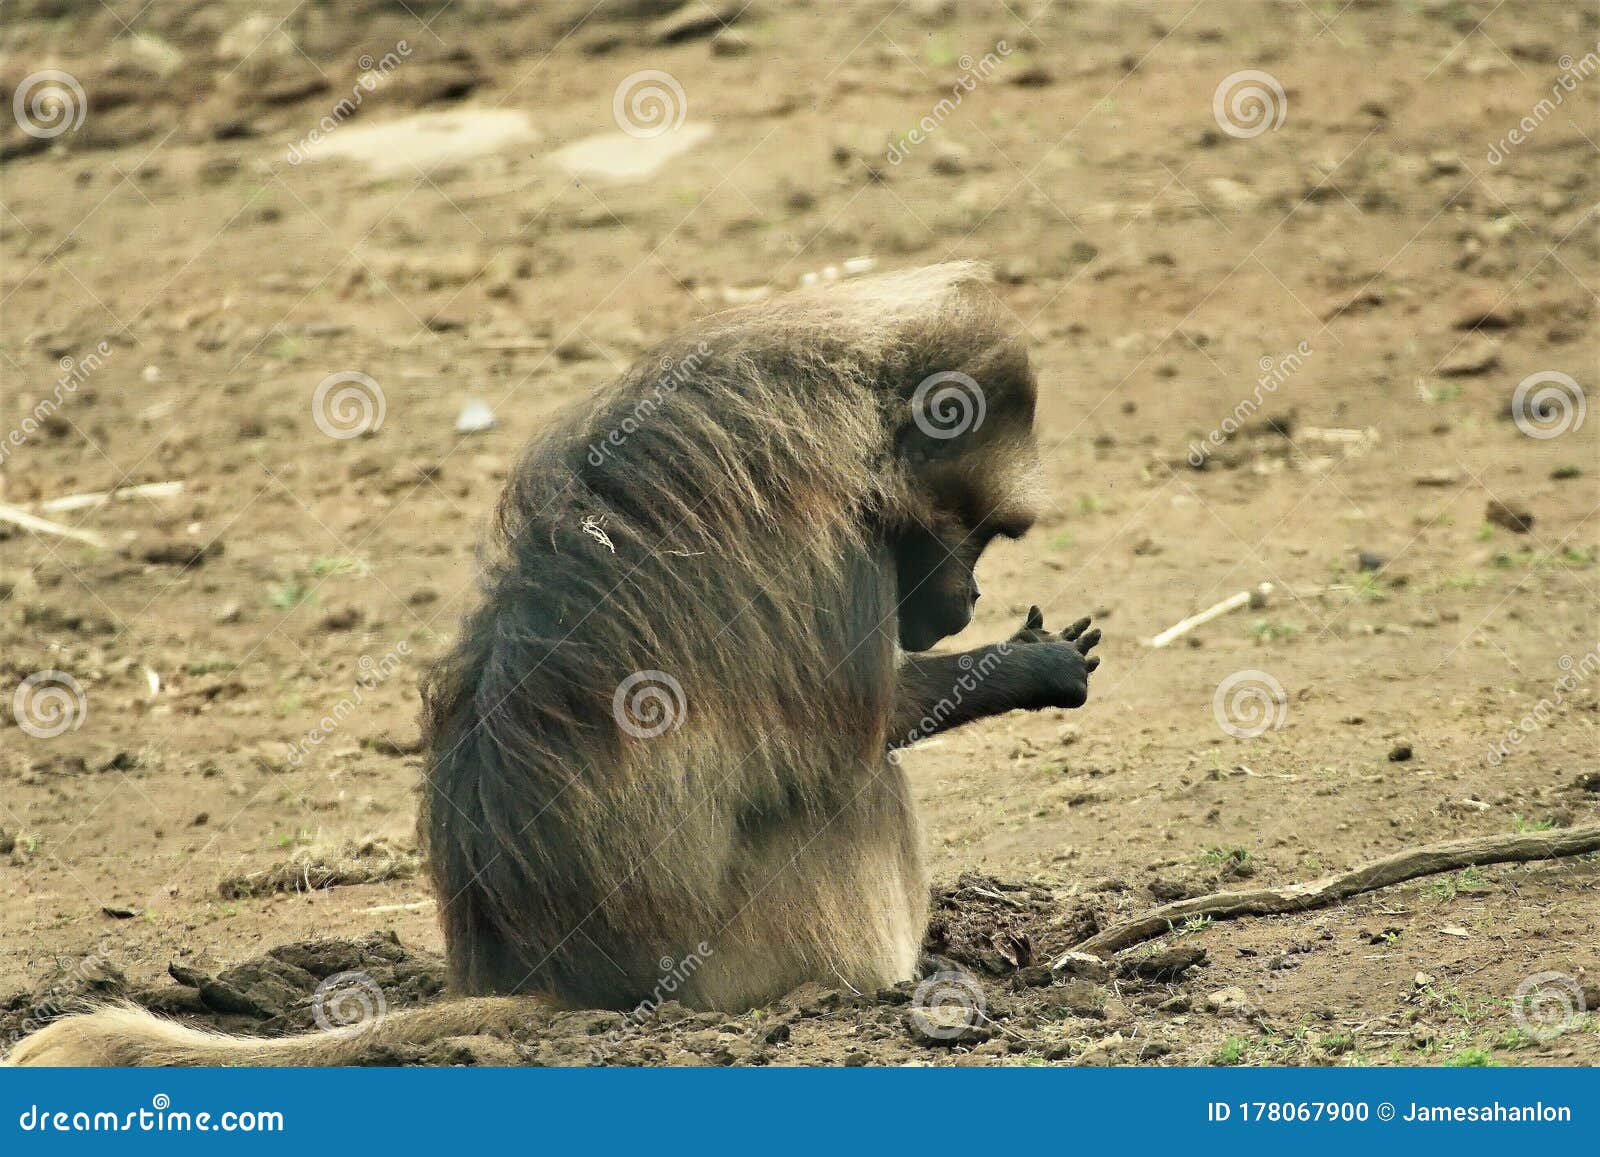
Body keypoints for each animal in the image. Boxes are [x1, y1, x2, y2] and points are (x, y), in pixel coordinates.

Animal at [5, 262, 1099, 1066]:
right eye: (973, 538)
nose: (970, 602)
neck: (834, 421)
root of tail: (559, 978)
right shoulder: (832, 549)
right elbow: (851, 726)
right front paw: (1024, 666)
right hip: (744, 949)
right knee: (854, 777)